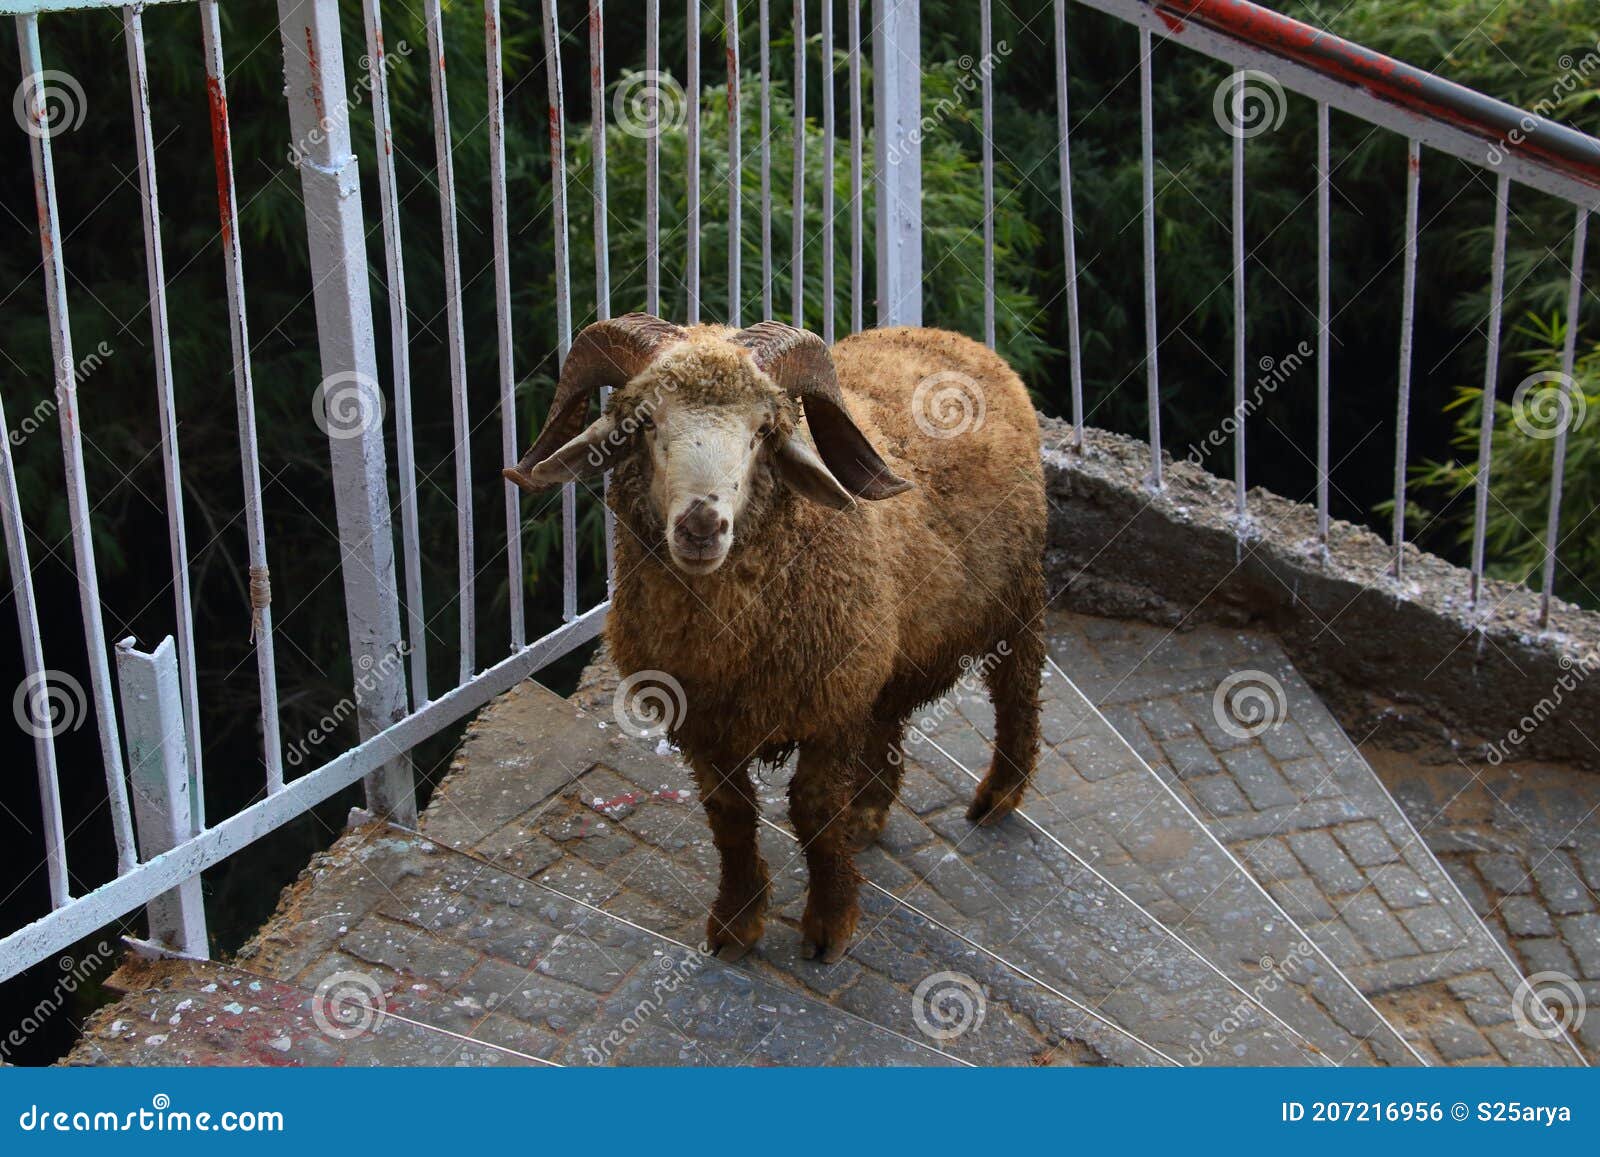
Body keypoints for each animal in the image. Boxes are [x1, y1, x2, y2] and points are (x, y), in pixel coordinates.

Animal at [505, 315, 1046, 963]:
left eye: (764, 430)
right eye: (644, 422)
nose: (702, 526)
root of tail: (944, 335)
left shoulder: (829, 709)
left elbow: (814, 811)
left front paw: (829, 925)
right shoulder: (708, 720)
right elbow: (730, 815)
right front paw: (737, 922)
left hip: (1018, 595)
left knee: (1018, 690)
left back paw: (998, 796)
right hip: (884, 644)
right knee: (889, 712)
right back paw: (869, 811)